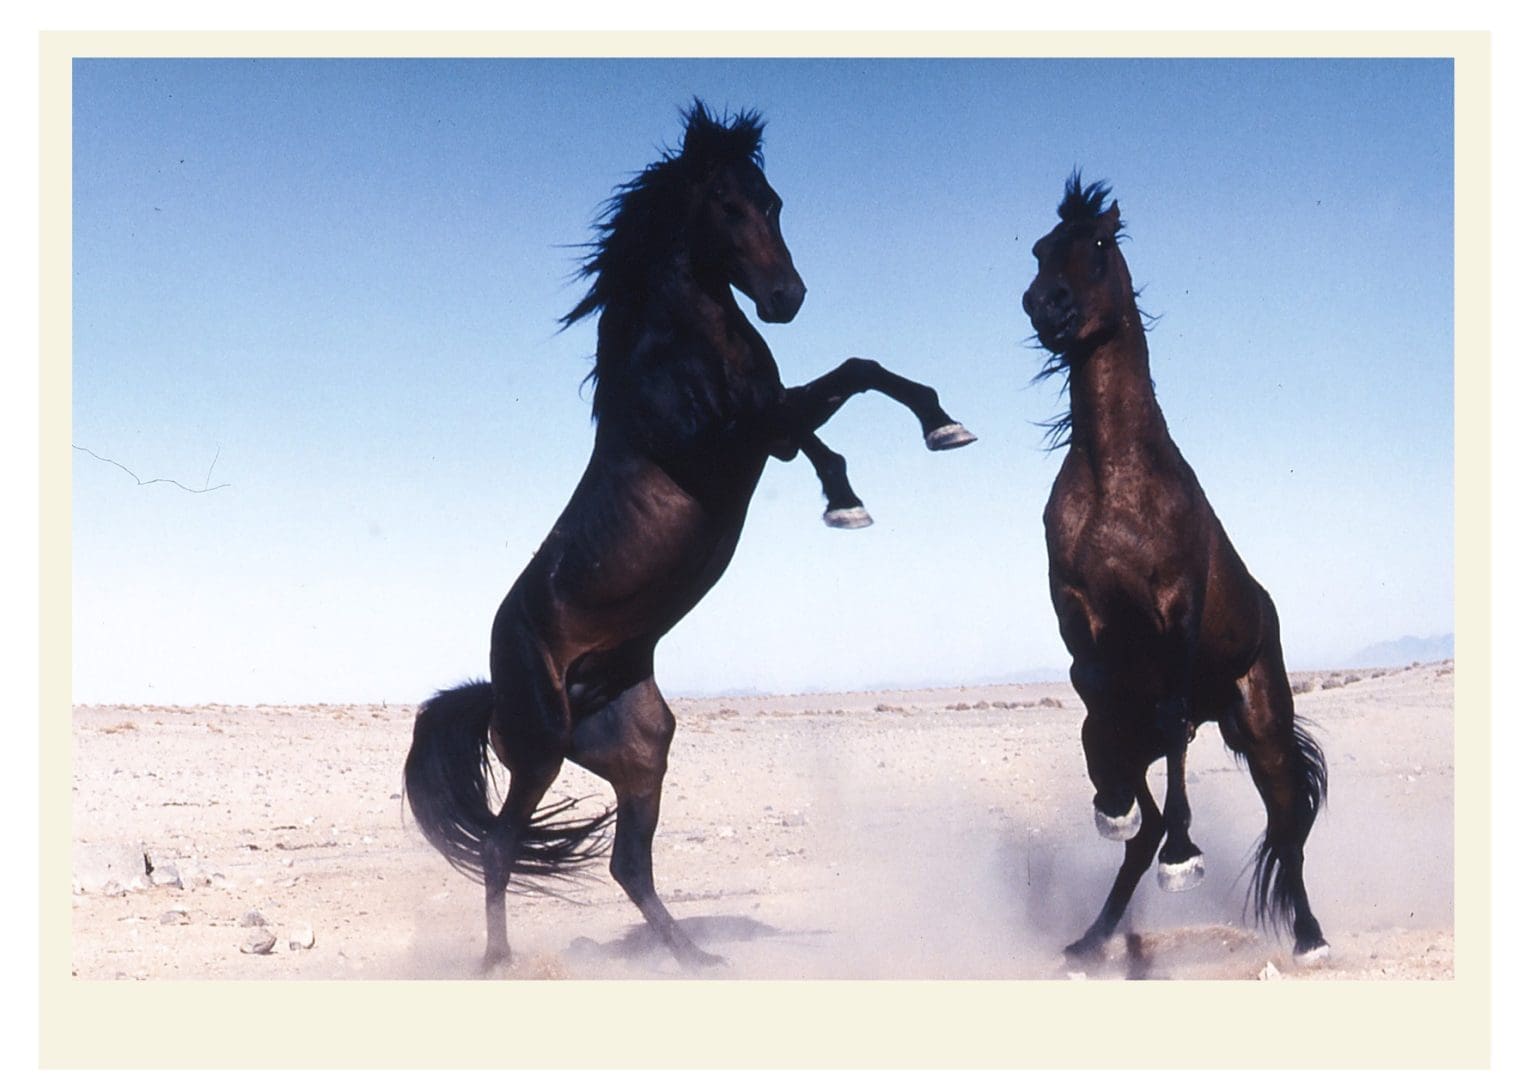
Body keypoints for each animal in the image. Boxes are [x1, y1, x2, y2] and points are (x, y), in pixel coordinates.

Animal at [403, 100, 975, 973]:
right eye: (727, 207)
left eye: (774, 201)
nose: (785, 298)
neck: (683, 347)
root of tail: (494, 690)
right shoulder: (730, 444)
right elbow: (830, 407)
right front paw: (859, 492)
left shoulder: (766, 424)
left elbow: (854, 379)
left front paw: (934, 433)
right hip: (540, 749)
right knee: (502, 847)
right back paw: (501, 962)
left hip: (642, 751)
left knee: (627, 864)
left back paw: (694, 956)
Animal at [1021, 173, 1329, 965]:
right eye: (1039, 249)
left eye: (1098, 243)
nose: (1044, 306)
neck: (1115, 478)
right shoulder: (1075, 610)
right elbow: (1097, 695)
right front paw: (1112, 805)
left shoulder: (1176, 609)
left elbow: (1167, 716)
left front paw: (1185, 858)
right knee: (1146, 818)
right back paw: (1089, 939)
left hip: (1263, 726)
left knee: (1288, 824)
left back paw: (1310, 938)